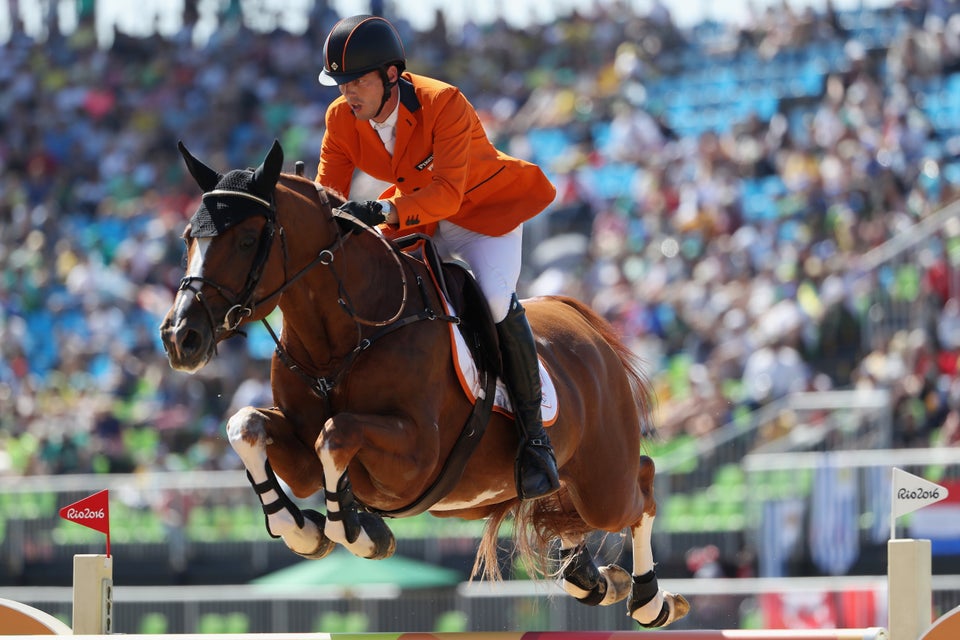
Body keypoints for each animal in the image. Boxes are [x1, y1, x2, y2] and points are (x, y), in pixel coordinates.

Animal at [159, 140, 689, 628]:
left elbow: (336, 433)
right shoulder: (302, 456)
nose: (180, 337)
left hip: (603, 481)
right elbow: (246, 426)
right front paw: (302, 529)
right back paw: (596, 580)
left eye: (248, 240)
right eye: (187, 237)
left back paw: (651, 600)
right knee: (567, 515)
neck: (344, 334)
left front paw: (358, 531)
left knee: (640, 486)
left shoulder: (416, 457)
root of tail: (583, 324)